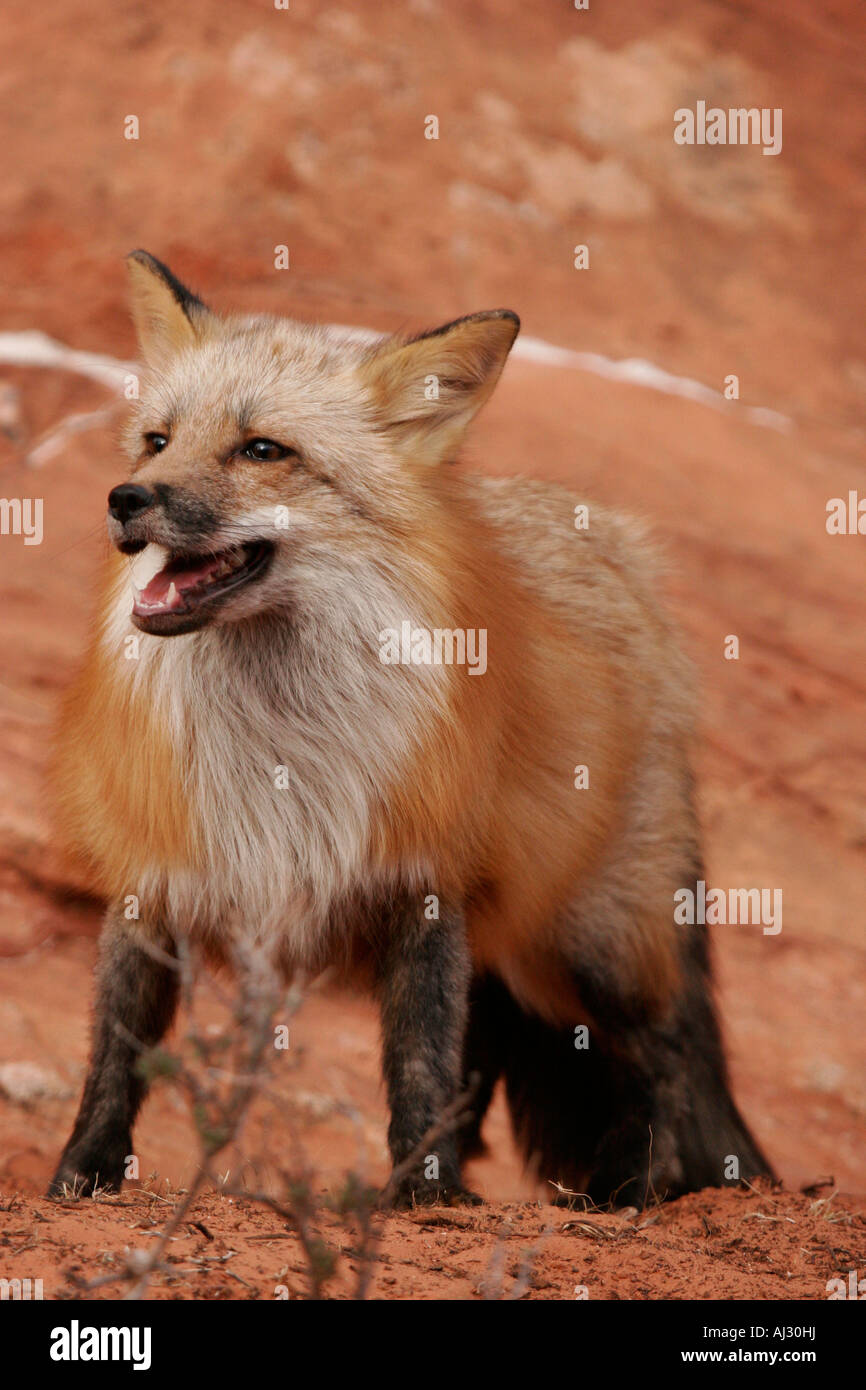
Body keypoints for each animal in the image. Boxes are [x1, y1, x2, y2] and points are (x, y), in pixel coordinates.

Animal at [48, 250, 772, 1208]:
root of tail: (622, 551)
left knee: (666, 1054)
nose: (126, 499)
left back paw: (636, 1191)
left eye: (263, 450)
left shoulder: (421, 875)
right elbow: (114, 1051)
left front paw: (427, 1195)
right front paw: (82, 1174)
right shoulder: (154, 876)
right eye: (157, 441)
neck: (278, 750)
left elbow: (420, 1054)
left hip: (593, 936)